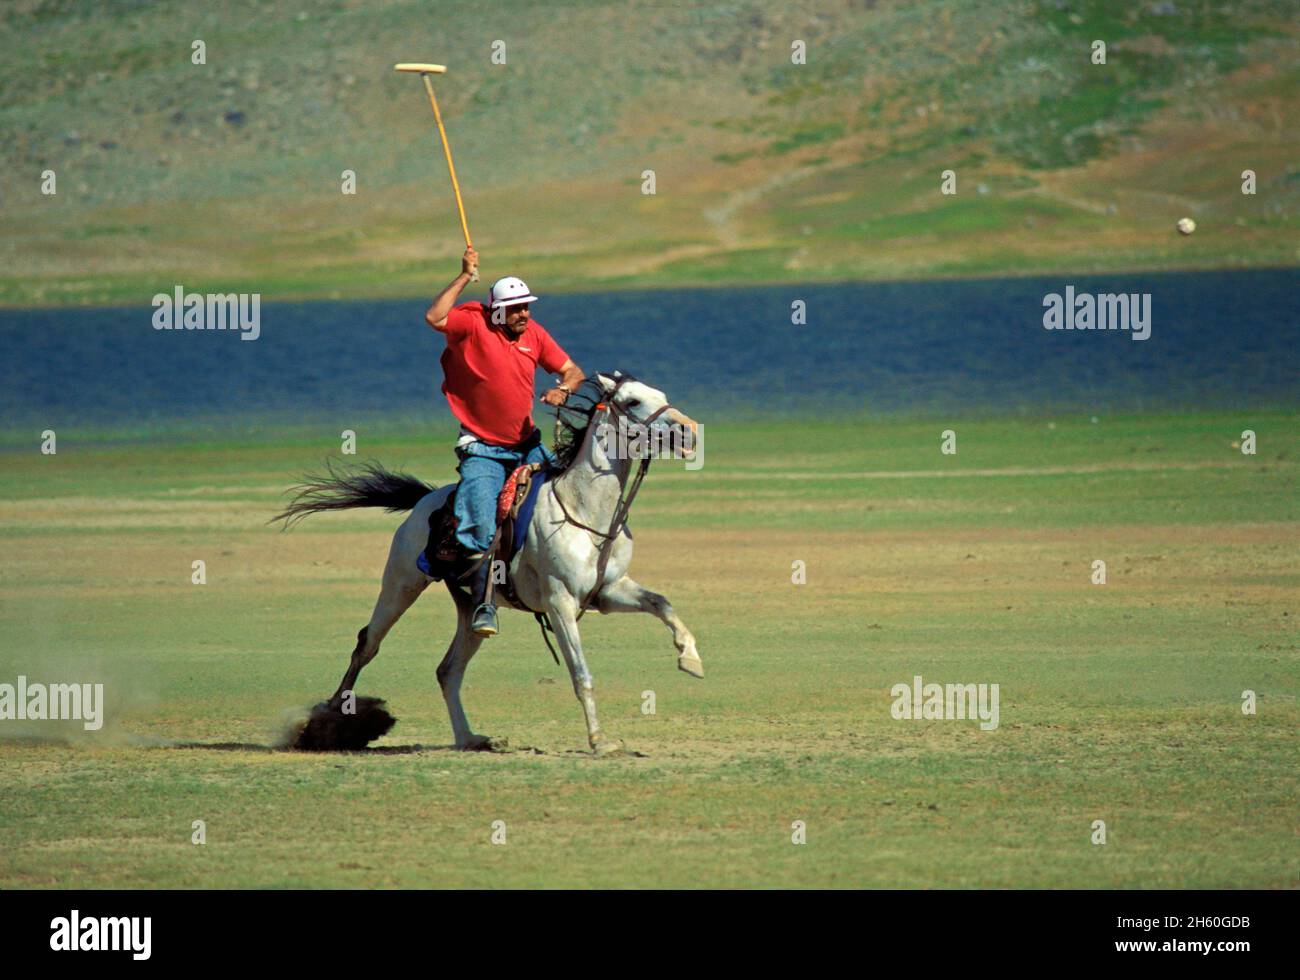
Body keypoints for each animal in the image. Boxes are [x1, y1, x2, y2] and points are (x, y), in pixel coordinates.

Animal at [273, 372, 703, 755]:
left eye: (661, 394)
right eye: (633, 402)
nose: (690, 431)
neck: (583, 511)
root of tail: (426, 500)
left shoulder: (609, 592)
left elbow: (662, 603)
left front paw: (691, 659)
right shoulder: (560, 602)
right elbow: (581, 674)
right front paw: (600, 742)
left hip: (471, 607)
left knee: (447, 670)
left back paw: (469, 738)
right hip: (400, 584)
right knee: (366, 646)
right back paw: (326, 723)